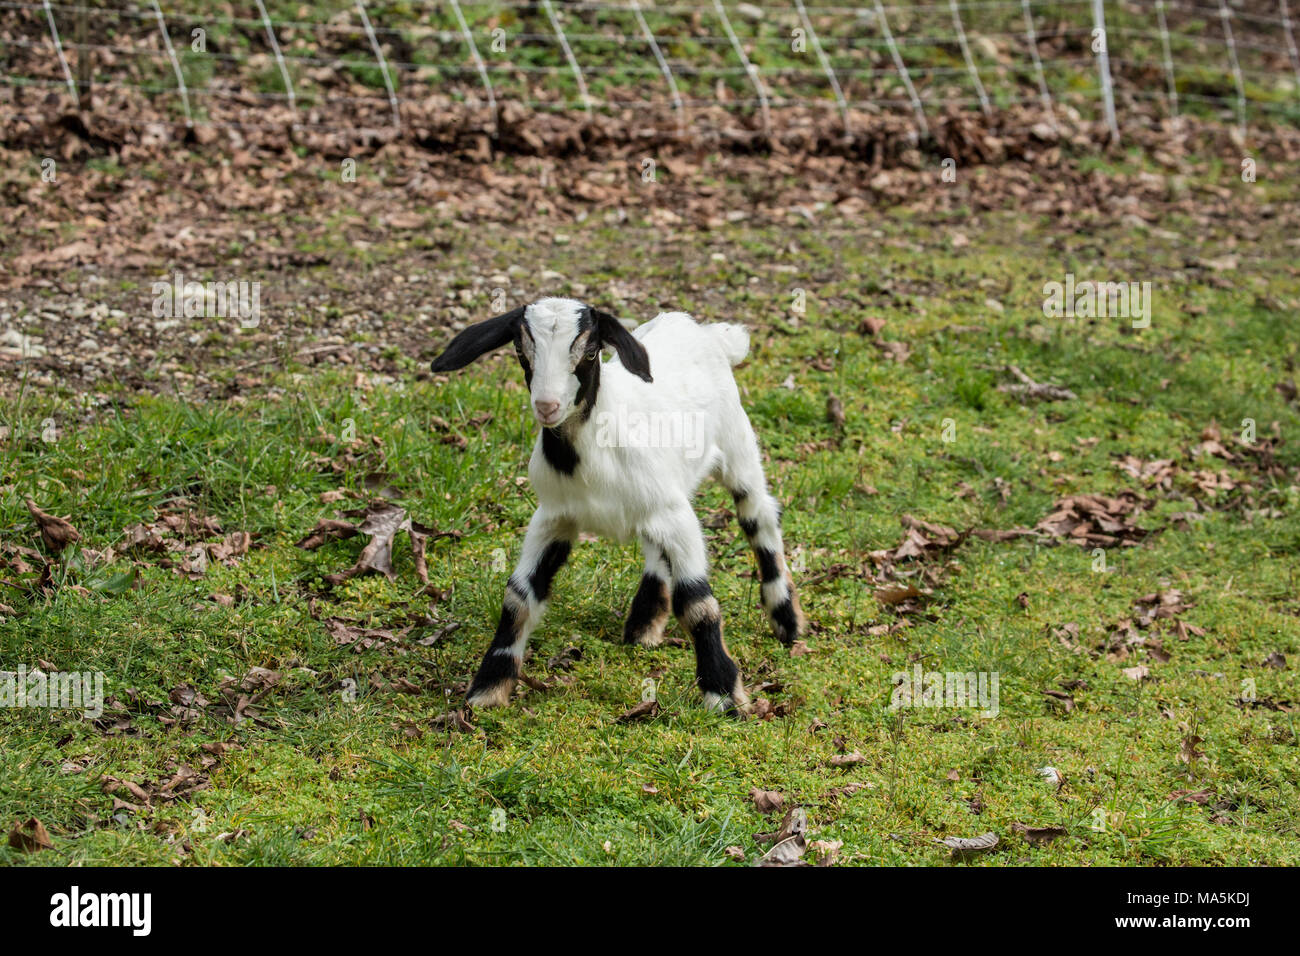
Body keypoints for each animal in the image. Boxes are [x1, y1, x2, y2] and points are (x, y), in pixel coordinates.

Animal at [429, 298, 805, 714]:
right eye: (520, 350)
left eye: (591, 352)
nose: (547, 405)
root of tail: (707, 332)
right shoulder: (553, 517)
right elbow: (519, 597)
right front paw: (489, 687)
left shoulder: (675, 515)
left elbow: (697, 602)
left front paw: (723, 696)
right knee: (656, 548)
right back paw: (645, 622)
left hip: (736, 444)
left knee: (759, 515)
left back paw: (785, 618)